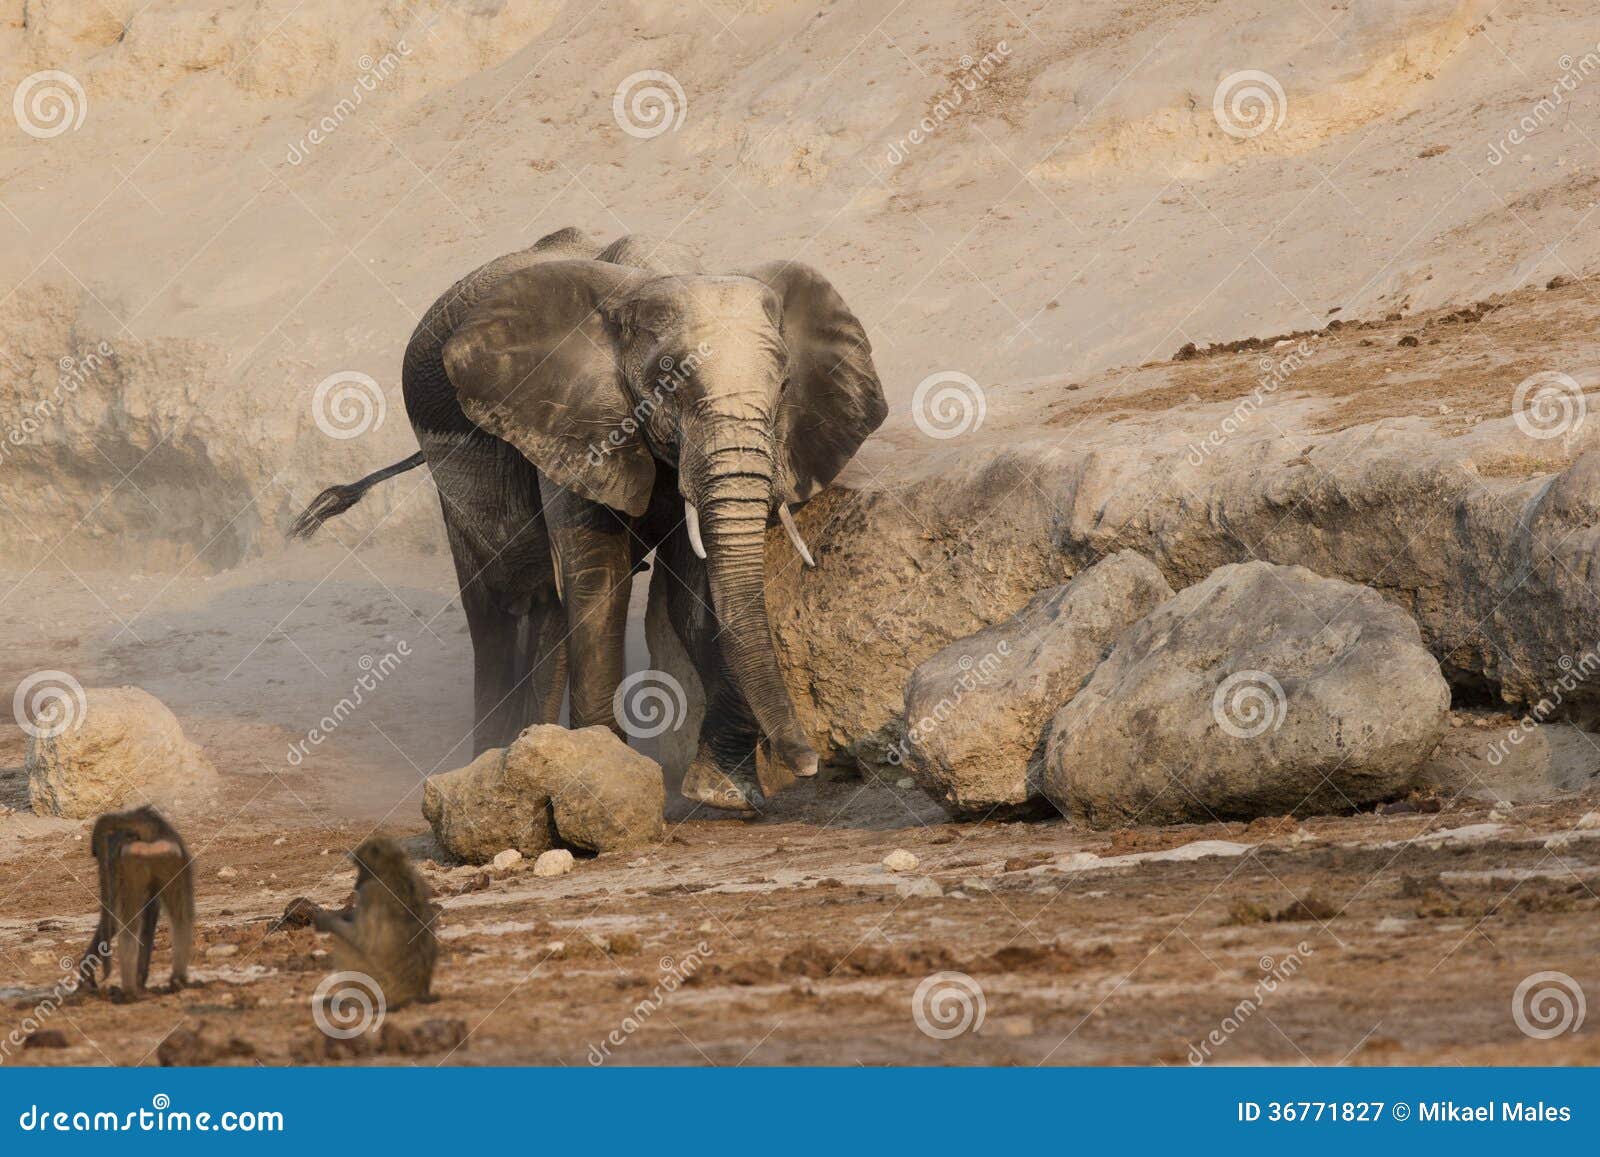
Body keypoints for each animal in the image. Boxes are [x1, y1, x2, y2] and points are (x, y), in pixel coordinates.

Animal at [291, 227, 886, 813]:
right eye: (669, 379)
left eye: (784, 385)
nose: (809, 764)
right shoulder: (569, 419)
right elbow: (599, 575)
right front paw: (608, 778)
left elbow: (696, 593)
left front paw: (723, 794)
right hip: (453, 472)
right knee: (497, 600)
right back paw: (487, 761)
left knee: (547, 605)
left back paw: (526, 746)